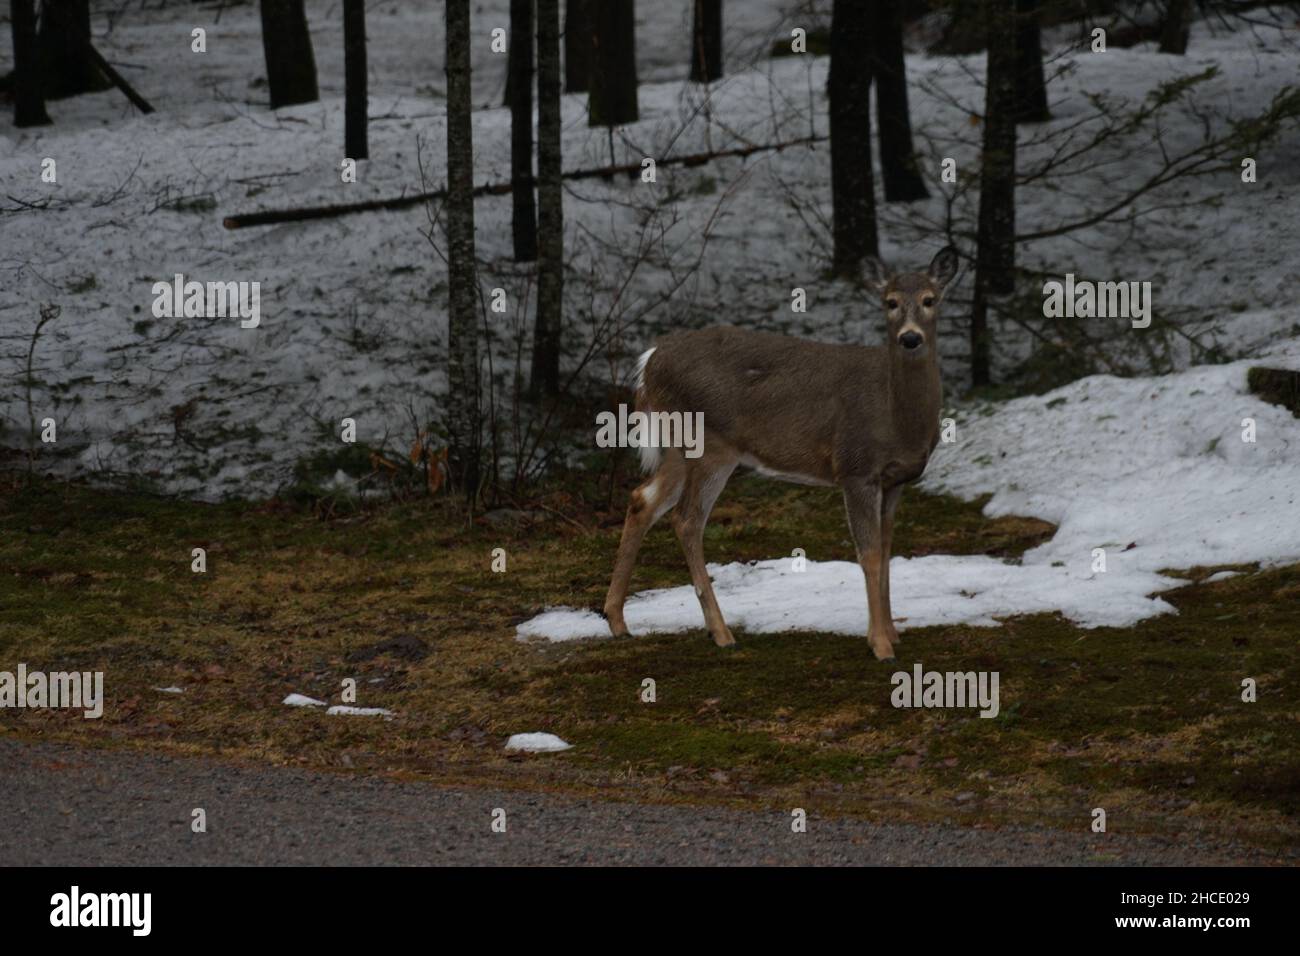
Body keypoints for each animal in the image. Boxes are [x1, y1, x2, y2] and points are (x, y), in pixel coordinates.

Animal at [603, 246, 959, 662]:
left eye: (930, 300)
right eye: (890, 302)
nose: (910, 338)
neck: (897, 418)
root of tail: (650, 360)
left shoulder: (896, 480)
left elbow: (887, 551)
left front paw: (892, 632)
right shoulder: (855, 467)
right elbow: (869, 554)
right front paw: (880, 644)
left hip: (678, 445)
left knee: (643, 499)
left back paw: (617, 620)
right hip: (711, 445)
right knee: (687, 519)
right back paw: (720, 632)